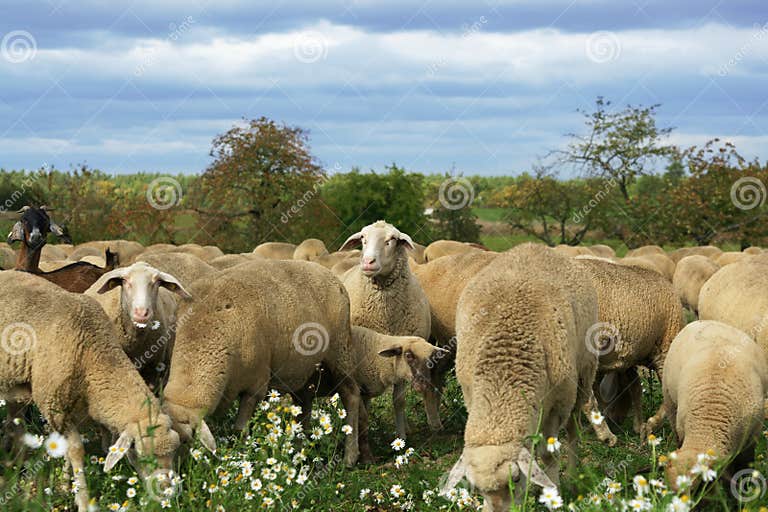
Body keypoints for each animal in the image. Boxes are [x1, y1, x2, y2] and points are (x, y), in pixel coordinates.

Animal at [0, 271, 180, 511]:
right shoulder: (54, 405)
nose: (166, 497)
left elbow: (66, 451)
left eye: (173, 452)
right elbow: (75, 450)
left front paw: (65, 484)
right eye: (142, 456)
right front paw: (83, 500)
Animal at [162, 259, 363, 466]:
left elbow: (240, 431)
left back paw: (350, 457)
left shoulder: (255, 385)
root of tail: (329, 274)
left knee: (351, 394)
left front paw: (243, 456)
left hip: (340, 350)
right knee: (304, 402)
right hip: (303, 366)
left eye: (185, 440)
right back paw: (300, 451)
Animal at [339, 221, 438, 432]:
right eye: (363, 238)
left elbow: (399, 401)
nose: (368, 262)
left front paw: (401, 434)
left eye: (392, 239)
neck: (384, 315)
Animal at [444, 243, 598, 510]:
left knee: (573, 431)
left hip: (584, 377)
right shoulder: (471, 397)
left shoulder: (558, 405)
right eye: (476, 488)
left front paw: (554, 492)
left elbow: (548, 454)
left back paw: (572, 474)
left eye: (516, 478)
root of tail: (532, 246)